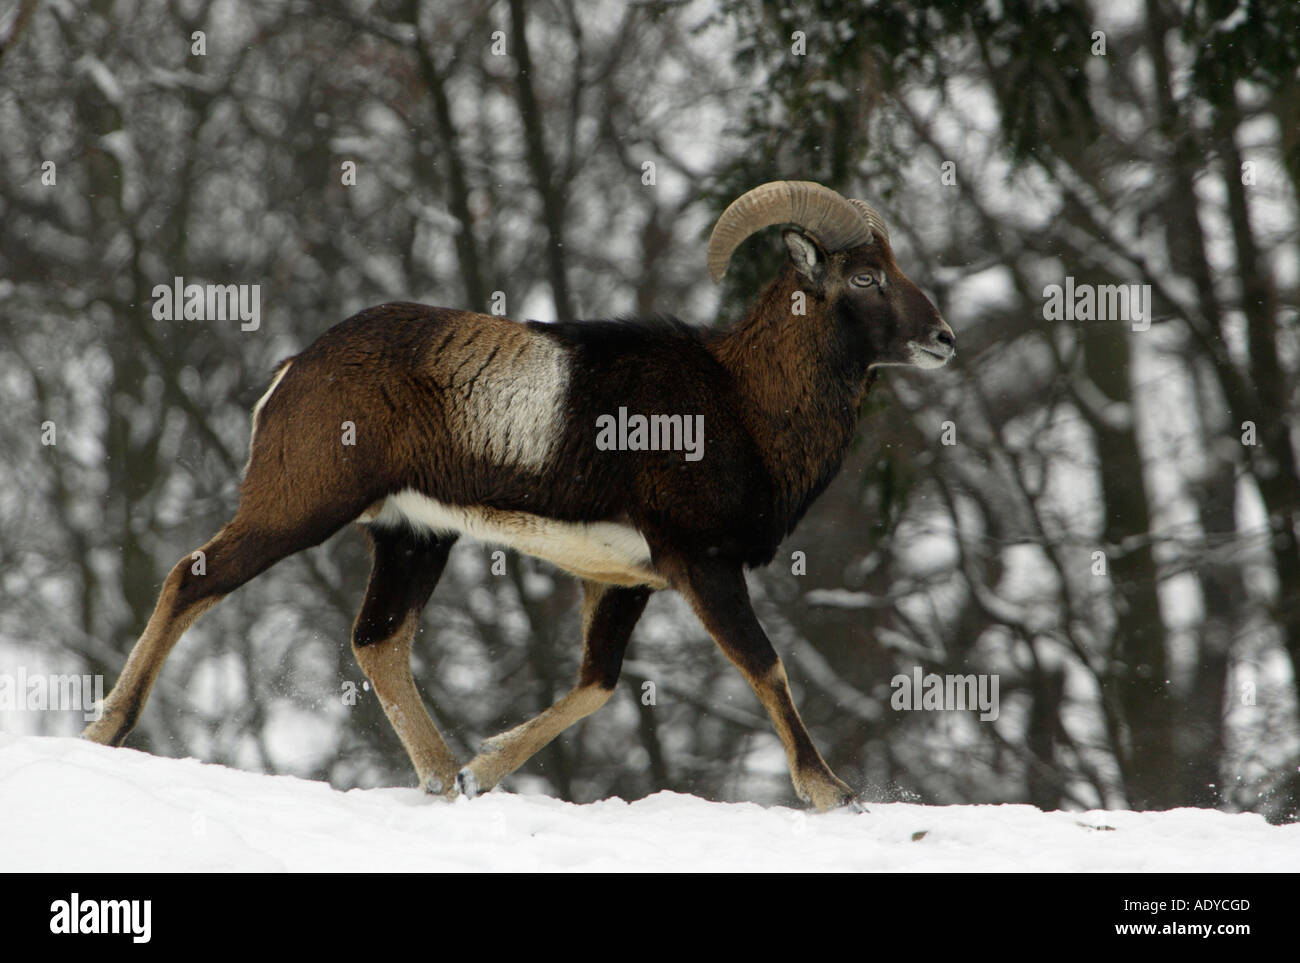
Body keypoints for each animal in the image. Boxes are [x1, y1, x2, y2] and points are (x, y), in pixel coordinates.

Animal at [83, 180, 955, 812]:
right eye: (867, 275)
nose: (943, 339)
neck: (744, 400)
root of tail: (297, 370)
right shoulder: (703, 566)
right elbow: (766, 666)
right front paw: (833, 793)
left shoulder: (623, 582)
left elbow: (597, 684)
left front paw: (482, 770)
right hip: (298, 510)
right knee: (191, 579)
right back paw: (104, 731)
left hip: (414, 539)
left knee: (378, 641)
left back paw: (443, 778)